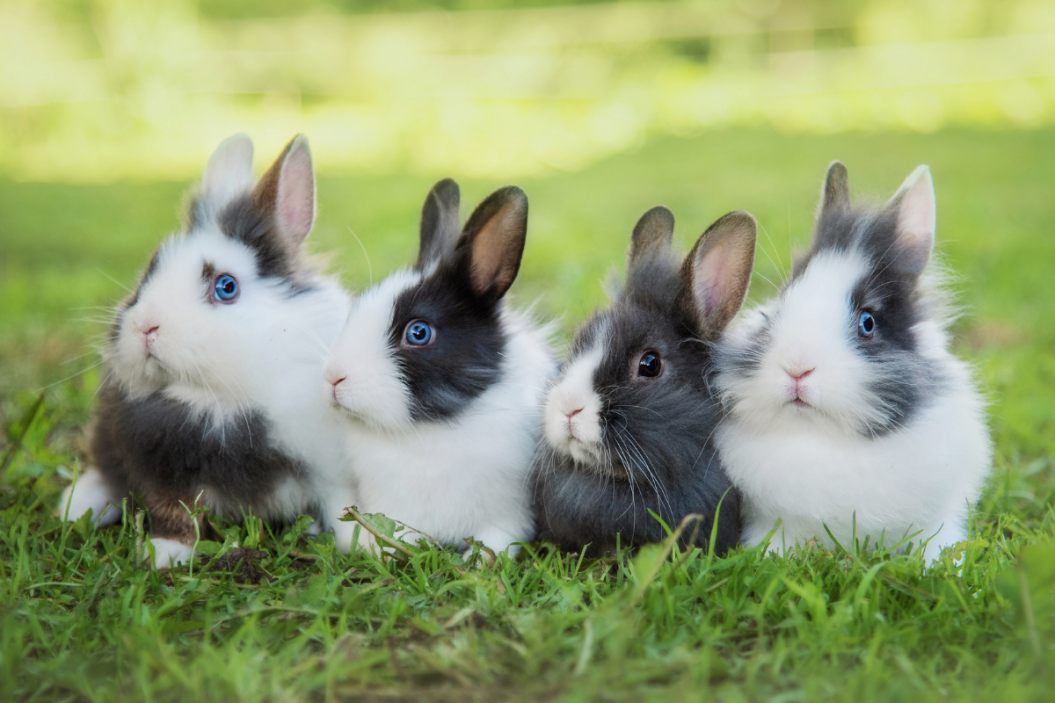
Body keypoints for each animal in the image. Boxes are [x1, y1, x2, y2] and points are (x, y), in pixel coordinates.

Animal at [56, 133, 360, 568]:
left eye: (226, 286)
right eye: (148, 274)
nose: (145, 326)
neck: (220, 400)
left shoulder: (331, 461)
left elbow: (343, 505)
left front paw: (369, 543)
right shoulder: (160, 459)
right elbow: (175, 508)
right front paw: (164, 553)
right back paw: (77, 504)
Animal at [322, 179, 558, 557]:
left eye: (418, 333)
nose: (333, 378)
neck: (431, 428)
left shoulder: (508, 518)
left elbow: (495, 544)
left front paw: (479, 563)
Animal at [714, 161, 992, 565]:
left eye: (868, 323)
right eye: (777, 309)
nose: (797, 367)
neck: (821, 438)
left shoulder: (939, 516)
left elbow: (939, 545)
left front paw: (942, 568)